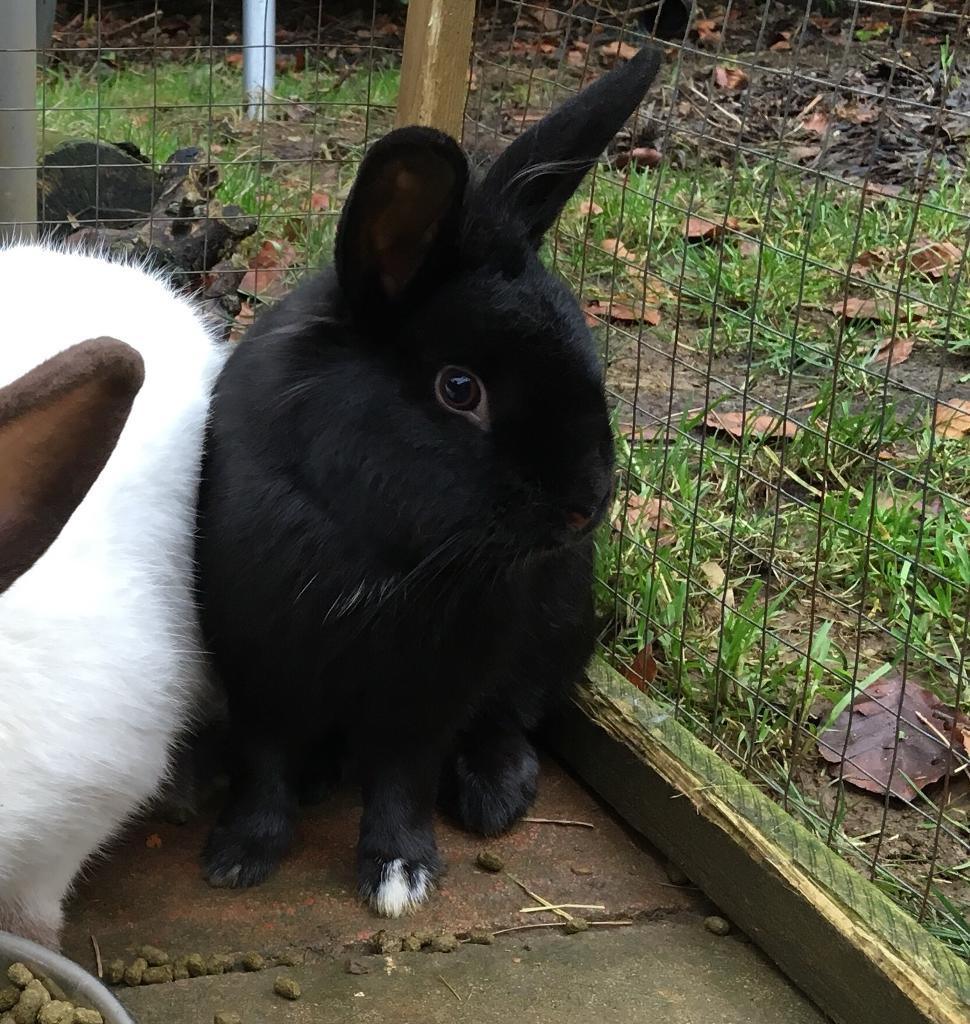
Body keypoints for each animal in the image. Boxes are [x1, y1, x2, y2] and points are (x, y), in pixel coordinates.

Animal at [196, 45, 663, 916]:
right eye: (458, 389)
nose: (587, 506)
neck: (380, 550)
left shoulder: (433, 682)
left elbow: (403, 776)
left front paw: (398, 874)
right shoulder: (260, 657)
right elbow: (264, 761)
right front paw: (239, 857)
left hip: (559, 625)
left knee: (517, 715)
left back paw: (493, 792)